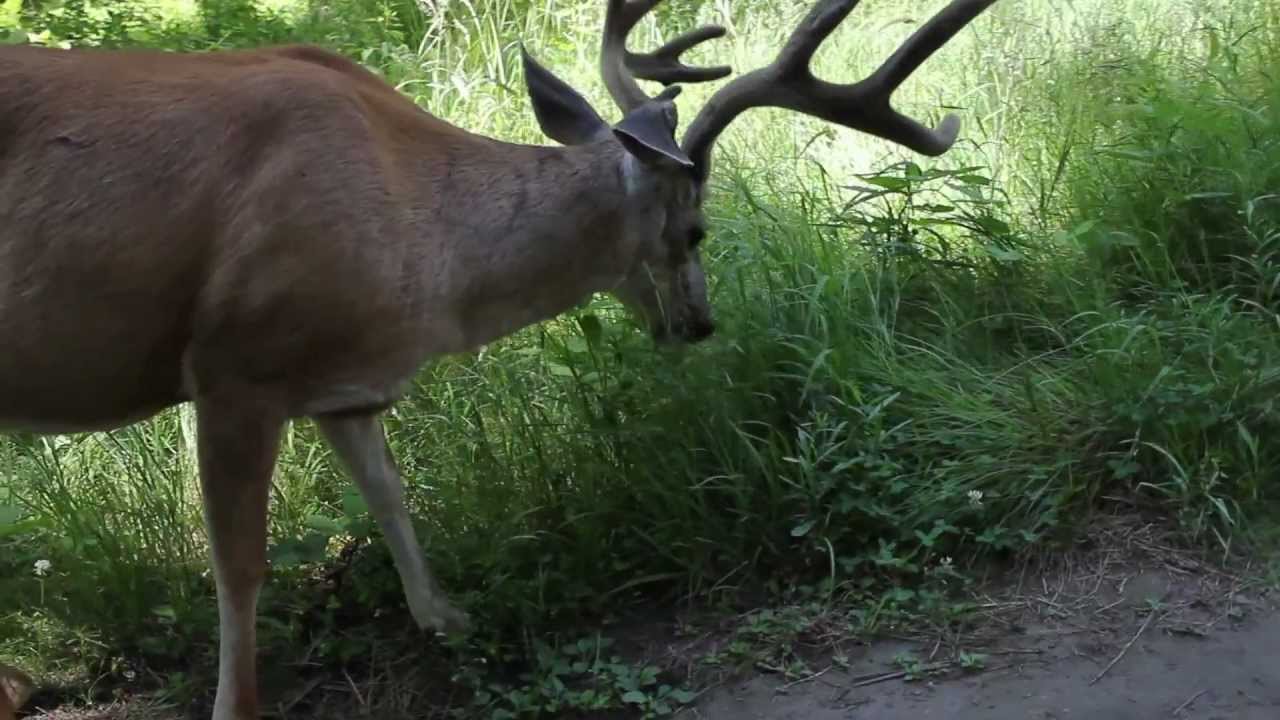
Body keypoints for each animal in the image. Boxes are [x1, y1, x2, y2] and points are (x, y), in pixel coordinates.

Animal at [0, 0, 998, 717]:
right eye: (696, 229)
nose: (701, 324)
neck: (427, 254)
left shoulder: (344, 387)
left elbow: (389, 492)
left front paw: (448, 618)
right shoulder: (236, 360)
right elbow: (239, 565)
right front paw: (237, 706)